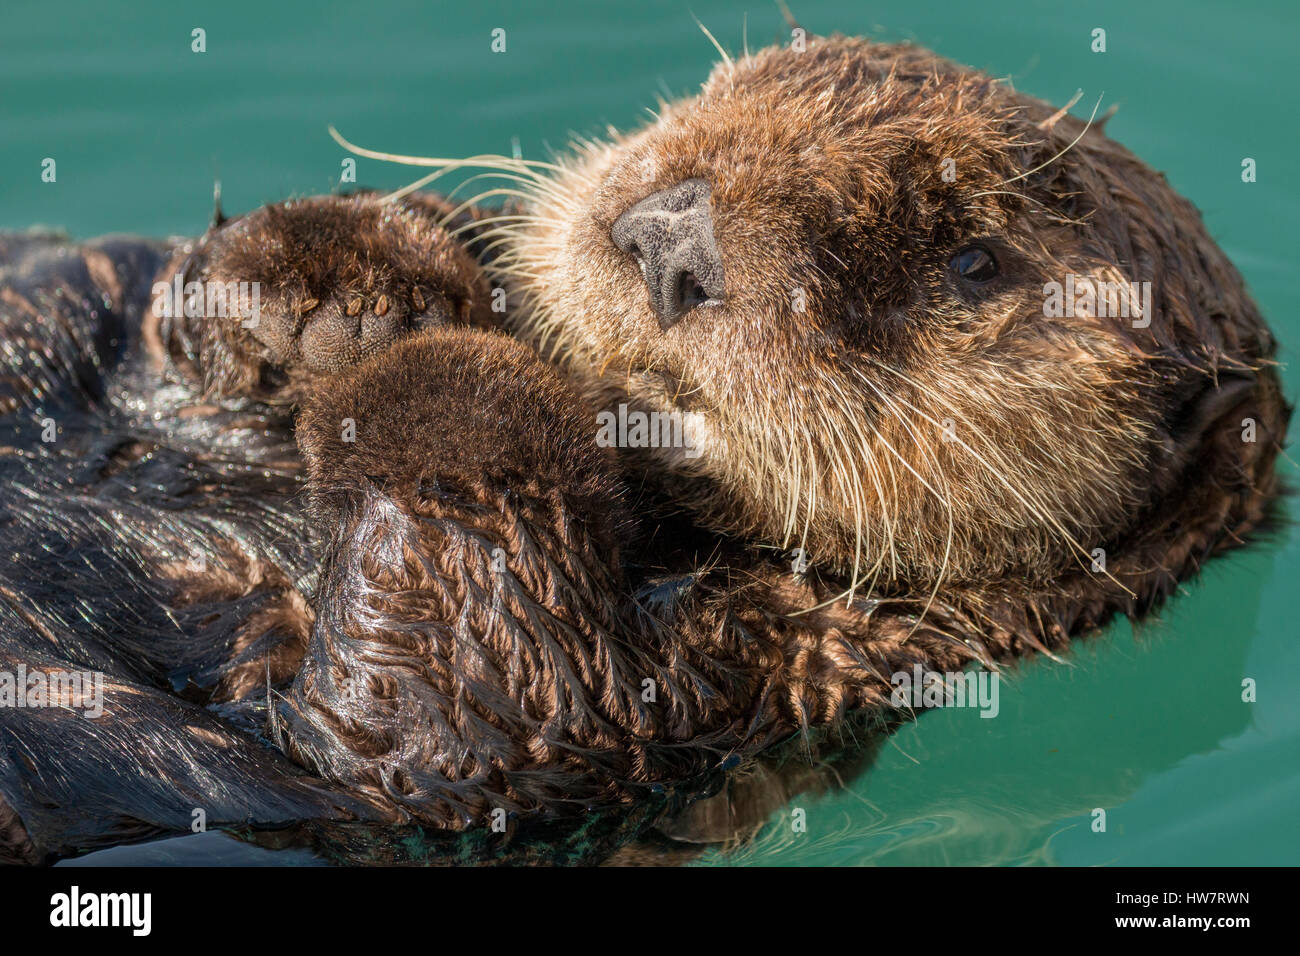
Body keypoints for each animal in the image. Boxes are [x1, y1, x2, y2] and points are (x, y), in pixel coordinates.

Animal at [0, 34, 1288, 863]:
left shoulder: (736, 681)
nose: (671, 234)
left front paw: (445, 366)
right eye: (713, 97)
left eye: (973, 258)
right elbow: (148, 292)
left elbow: (450, 703)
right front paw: (350, 272)